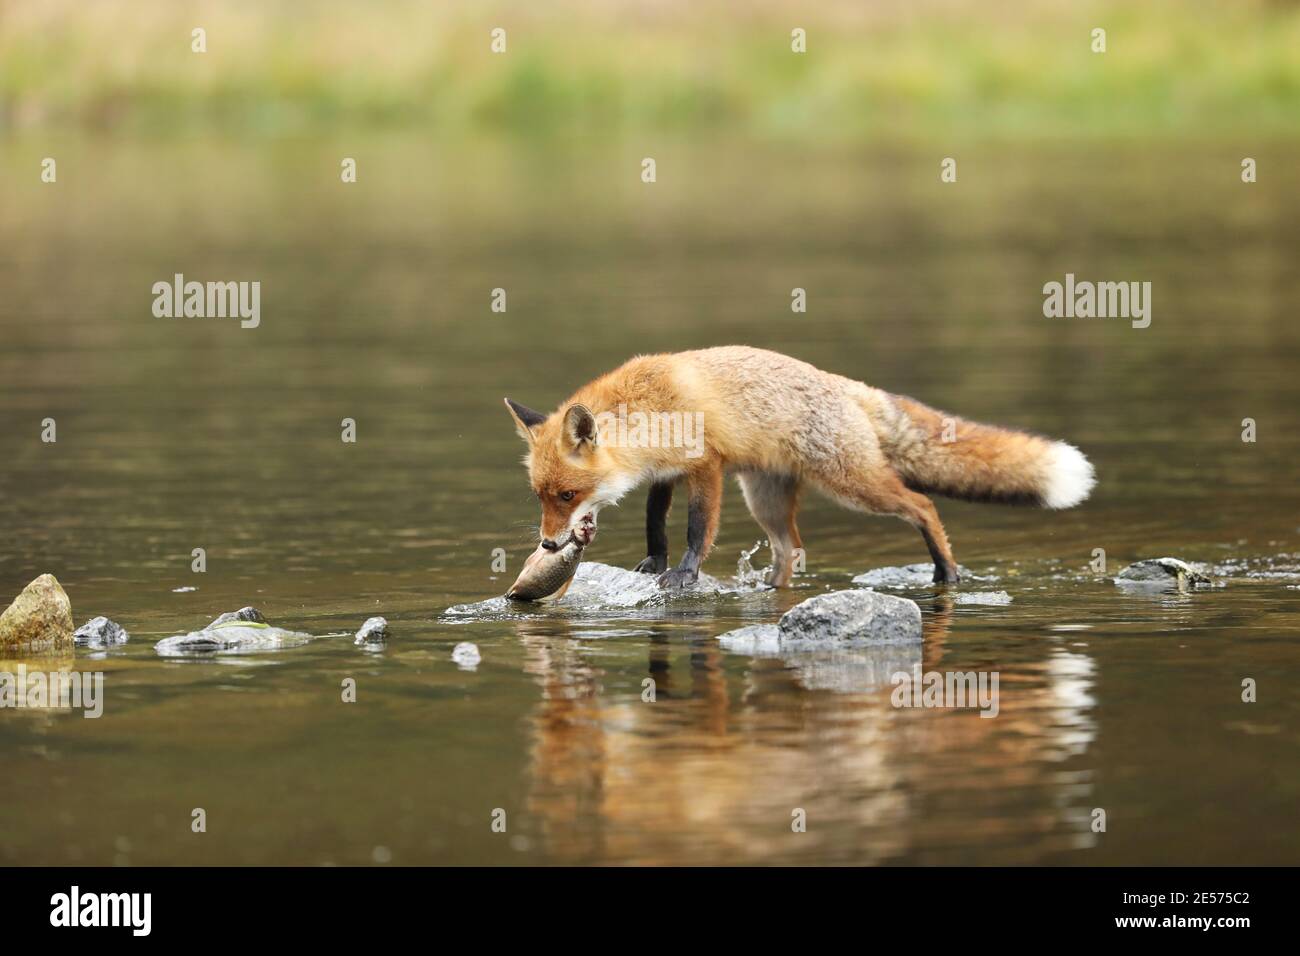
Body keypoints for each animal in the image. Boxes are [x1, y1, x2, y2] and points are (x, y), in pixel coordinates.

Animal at [504, 346, 1094, 588]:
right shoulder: (665, 476)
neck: (652, 408)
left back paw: (946, 572)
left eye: (565, 495)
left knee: (922, 504)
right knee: (790, 549)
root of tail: (845, 384)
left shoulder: (706, 468)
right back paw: (771, 589)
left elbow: (697, 530)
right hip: (765, 499)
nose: (549, 544)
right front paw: (653, 563)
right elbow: (656, 525)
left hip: (852, 485)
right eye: (540, 496)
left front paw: (684, 574)